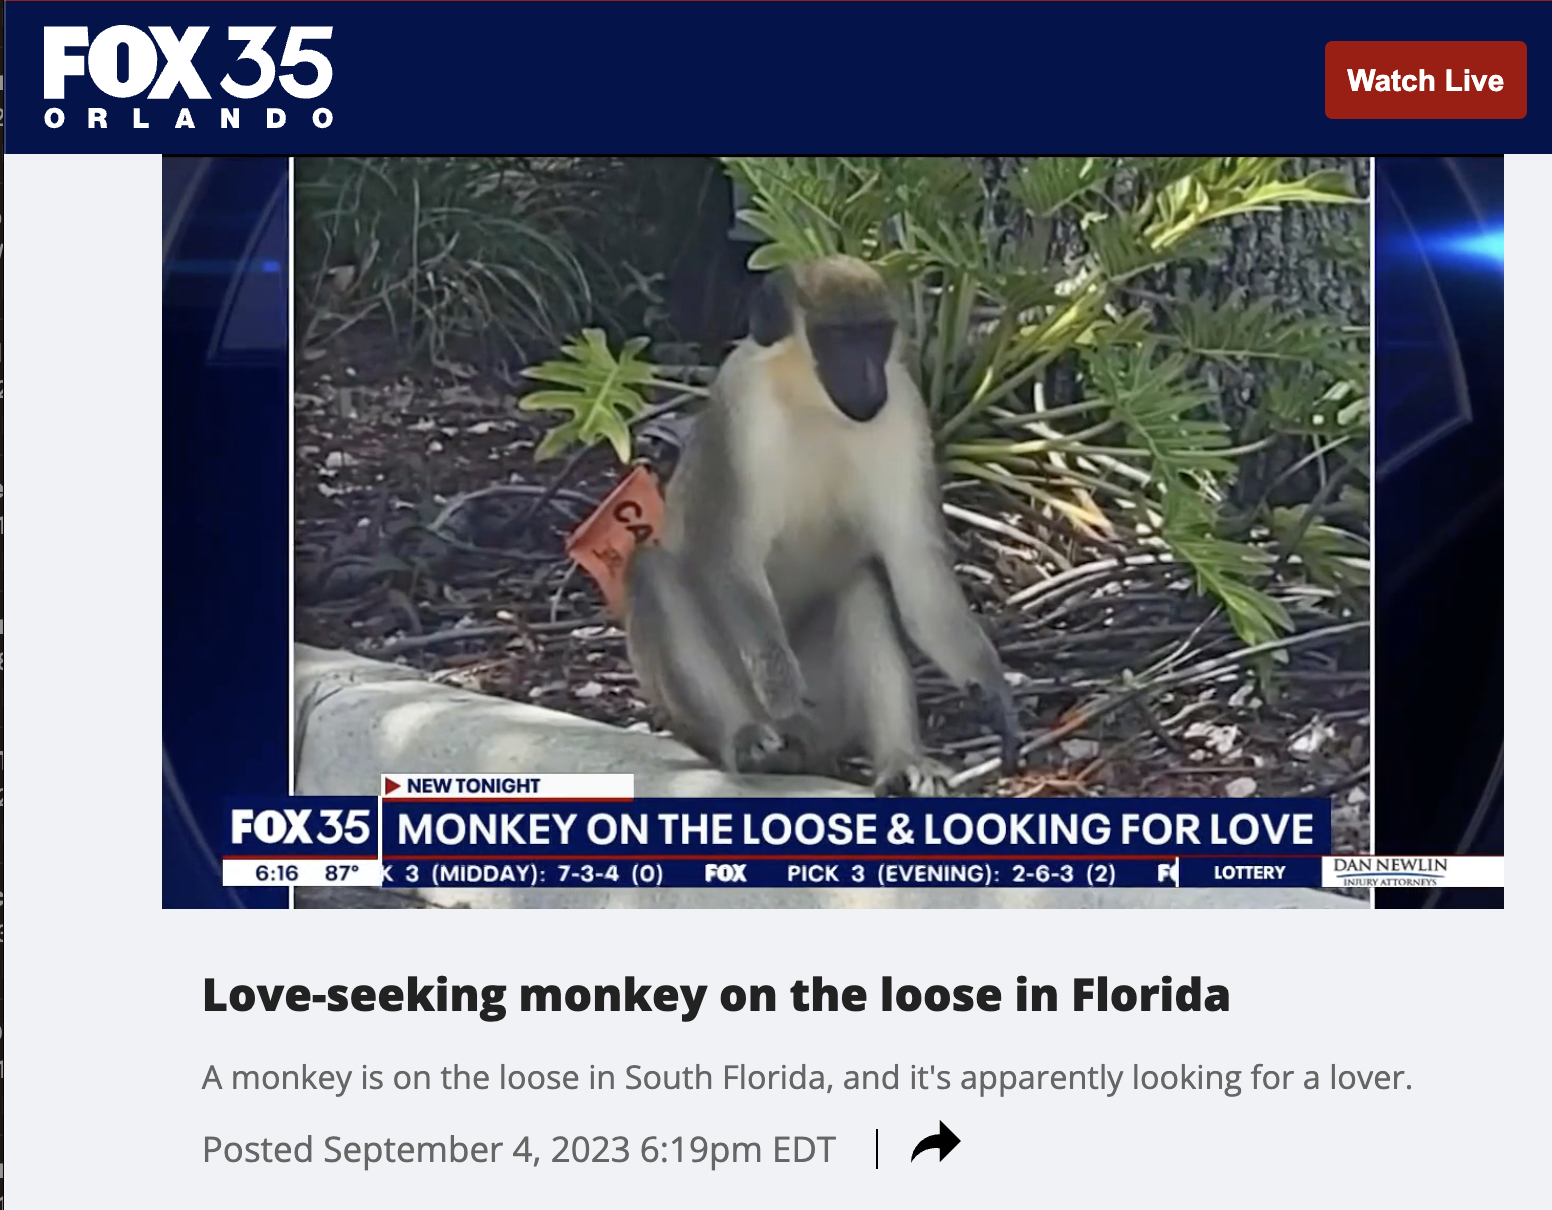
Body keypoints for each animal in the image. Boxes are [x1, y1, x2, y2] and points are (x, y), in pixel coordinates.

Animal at [623, 254, 1020, 796]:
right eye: (836, 339)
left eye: (875, 335)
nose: (867, 377)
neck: (810, 400)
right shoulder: (739, 410)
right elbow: (726, 557)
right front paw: (785, 700)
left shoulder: (904, 408)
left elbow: (913, 565)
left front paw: (991, 687)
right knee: (654, 572)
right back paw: (749, 739)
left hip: (834, 707)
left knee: (863, 584)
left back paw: (900, 760)